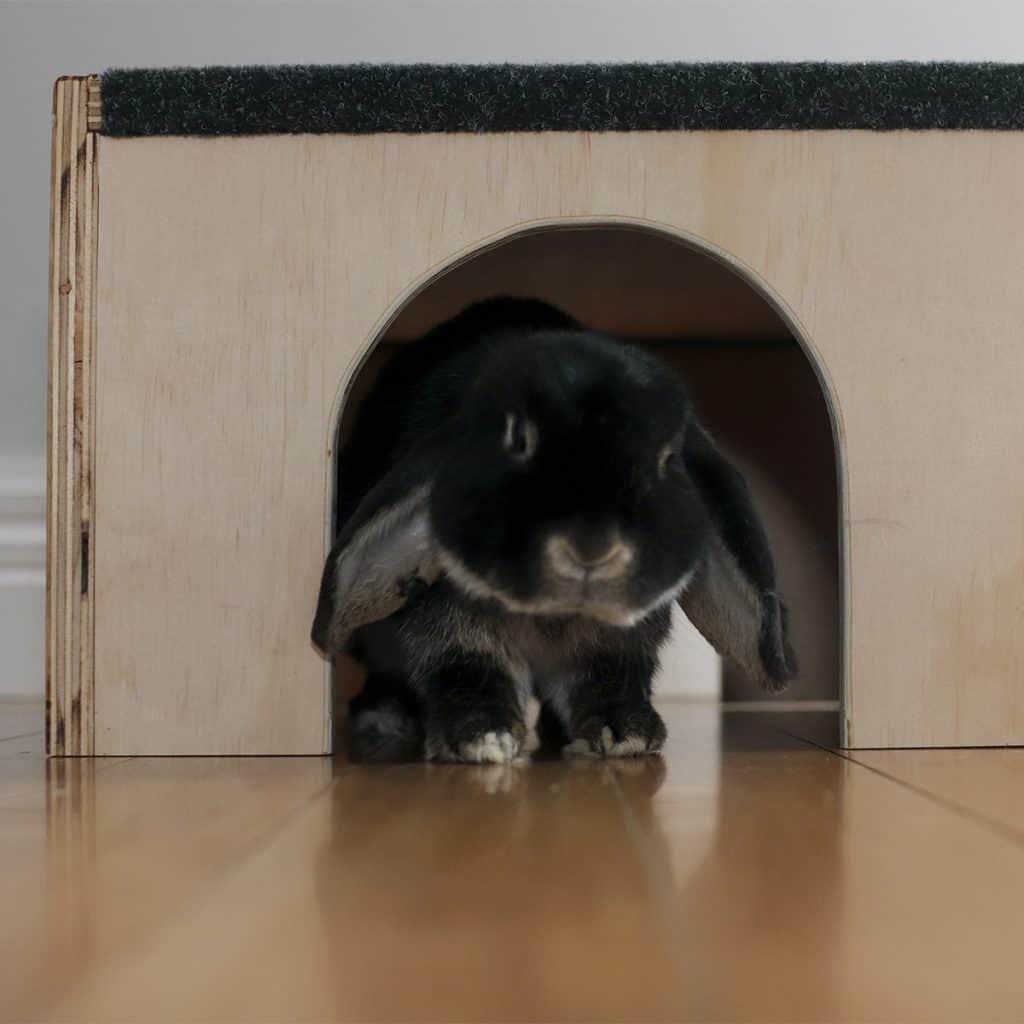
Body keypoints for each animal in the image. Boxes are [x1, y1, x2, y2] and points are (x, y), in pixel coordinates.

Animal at [312, 297, 796, 763]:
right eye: (518, 438)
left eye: (666, 458)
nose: (591, 548)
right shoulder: (453, 628)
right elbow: (468, 667)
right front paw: (482, 738)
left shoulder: (615, 644)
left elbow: (606, 675)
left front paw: (625, 733)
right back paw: (385, 715)